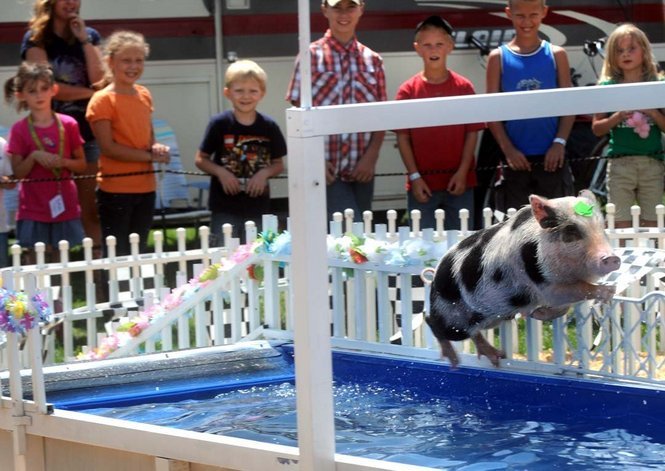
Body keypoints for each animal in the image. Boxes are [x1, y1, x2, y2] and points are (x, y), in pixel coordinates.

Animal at [426, 190, 620, 367]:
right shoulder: (543, 282)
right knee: (433, 324)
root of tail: (434, 277)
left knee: (475, 332)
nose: (612, 258)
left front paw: (537, 314)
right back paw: (454, 362)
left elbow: (566, 306)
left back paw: (496, 358)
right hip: (453, 318)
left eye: (601, 227)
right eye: (571, 230)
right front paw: (609, 290)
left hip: (489, 318)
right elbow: (578, 289)